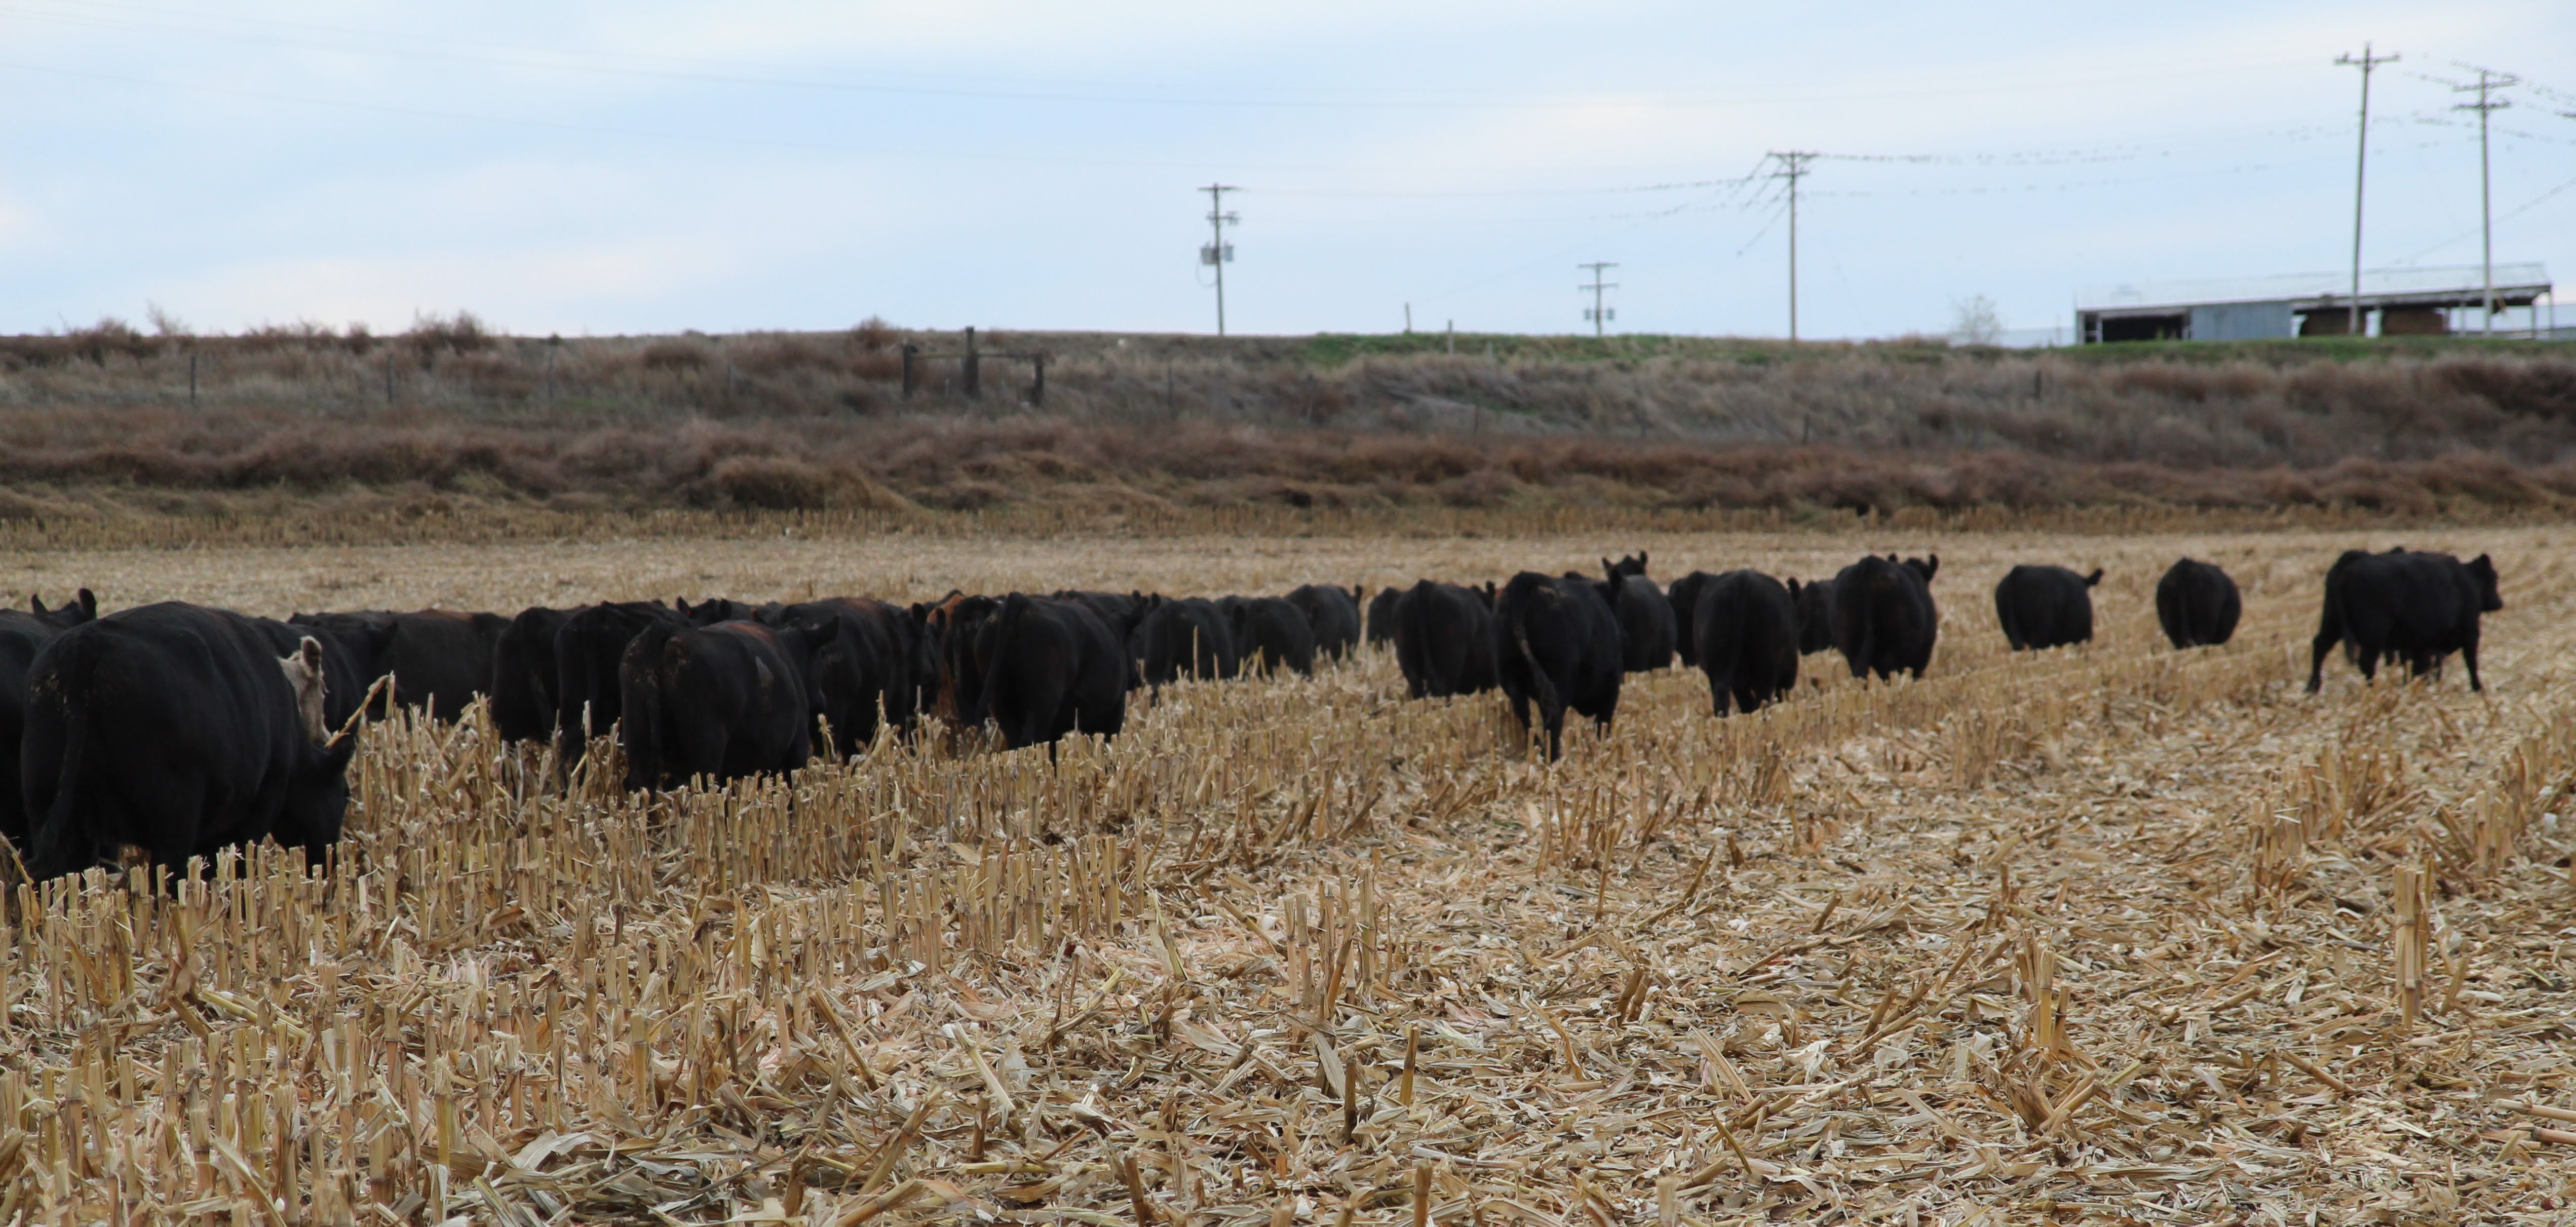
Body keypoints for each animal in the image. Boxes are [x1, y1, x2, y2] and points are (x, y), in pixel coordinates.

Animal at [18, 603, 358, 881]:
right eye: (345, 796)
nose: (330, 865)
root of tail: (85, 645)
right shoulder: (255, 814)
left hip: (44, 802)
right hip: (174, 817)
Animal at [618, 617, 831, 790]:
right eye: (821, 655)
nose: (823, 699)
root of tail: (663, 630)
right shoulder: (795, 755)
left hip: (639, 746)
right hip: (705, 757)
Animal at [1492, 572, 1622, 760]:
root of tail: (1525, 579)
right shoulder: (1612, 687)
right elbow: (1603, 726)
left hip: (1510, 677)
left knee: (1525, 716)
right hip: (1560, 680)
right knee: (1553, 720)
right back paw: (1553, 757)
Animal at [2306, 549, 2502, 692]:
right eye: (2494, 578)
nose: (2499, 603)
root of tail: (2351, 564)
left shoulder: (2420, 643)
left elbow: (2420, 667)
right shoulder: (2470, 632)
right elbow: (2471, 662)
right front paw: (2478, 688)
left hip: (2332, 621)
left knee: (2320, 645)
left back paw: (2313, 687)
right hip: (2374, 632)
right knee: (2367, 661)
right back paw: (2371, 690)